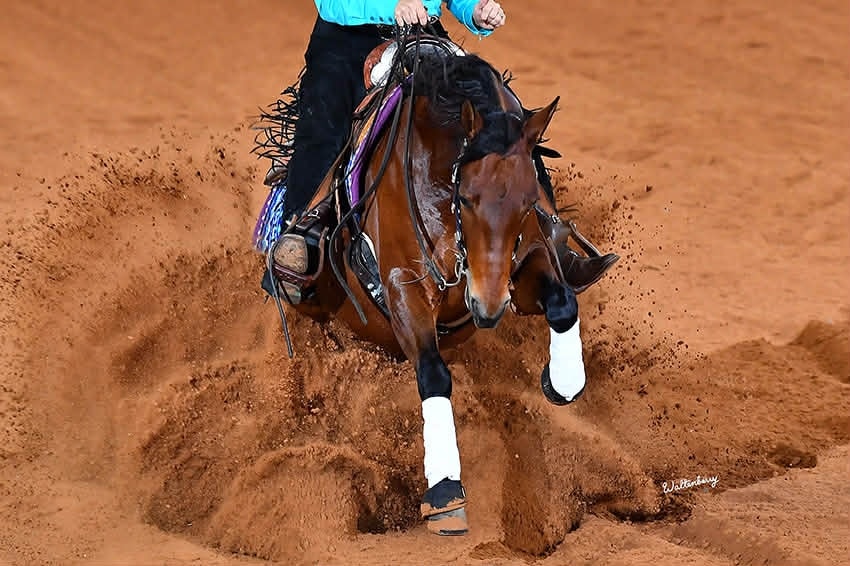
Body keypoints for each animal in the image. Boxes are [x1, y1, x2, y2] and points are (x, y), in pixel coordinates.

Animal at [268, 37, 588, 535]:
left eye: (529, 199)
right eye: (467, 197)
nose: (488, 304)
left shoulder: (529, 254)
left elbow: (562, 302)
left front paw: (564, 380)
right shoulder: (402, 286)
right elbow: (434, 374)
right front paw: (445, 491)